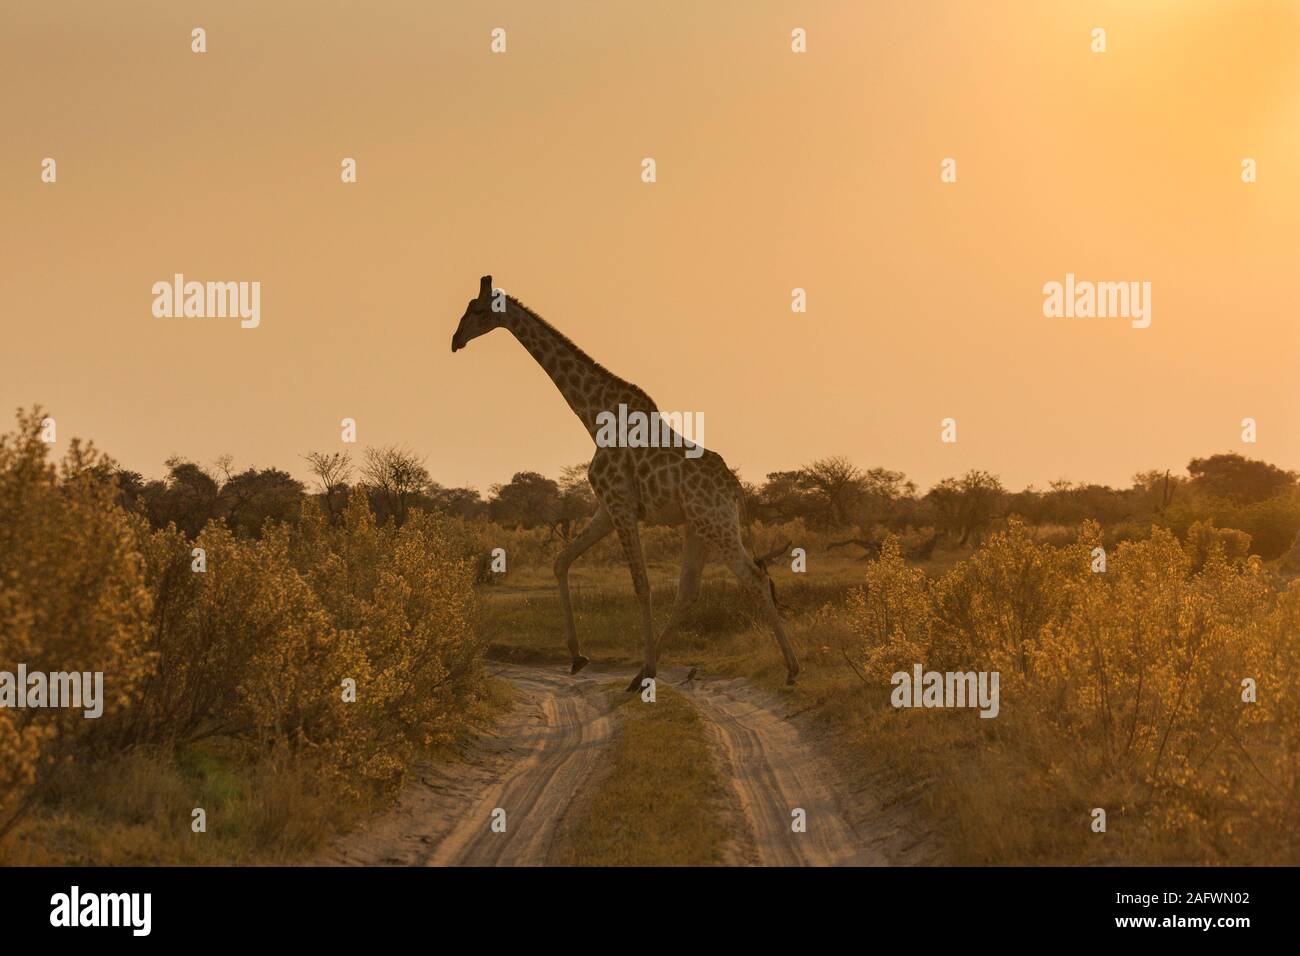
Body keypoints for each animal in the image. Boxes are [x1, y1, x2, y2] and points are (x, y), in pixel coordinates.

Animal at [451, 275, 800, 689]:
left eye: (477, 310)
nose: (455, 340)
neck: (594, 415)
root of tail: (736, 490)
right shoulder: (607, 508)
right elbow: (561, 561)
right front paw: (578, 656)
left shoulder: (620, 505)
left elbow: (641, 585)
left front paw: (630, 663)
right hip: (698, 528)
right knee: (689, 591)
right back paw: (639, 674)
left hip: (716, 525)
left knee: (755, 579)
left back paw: (791, 668)